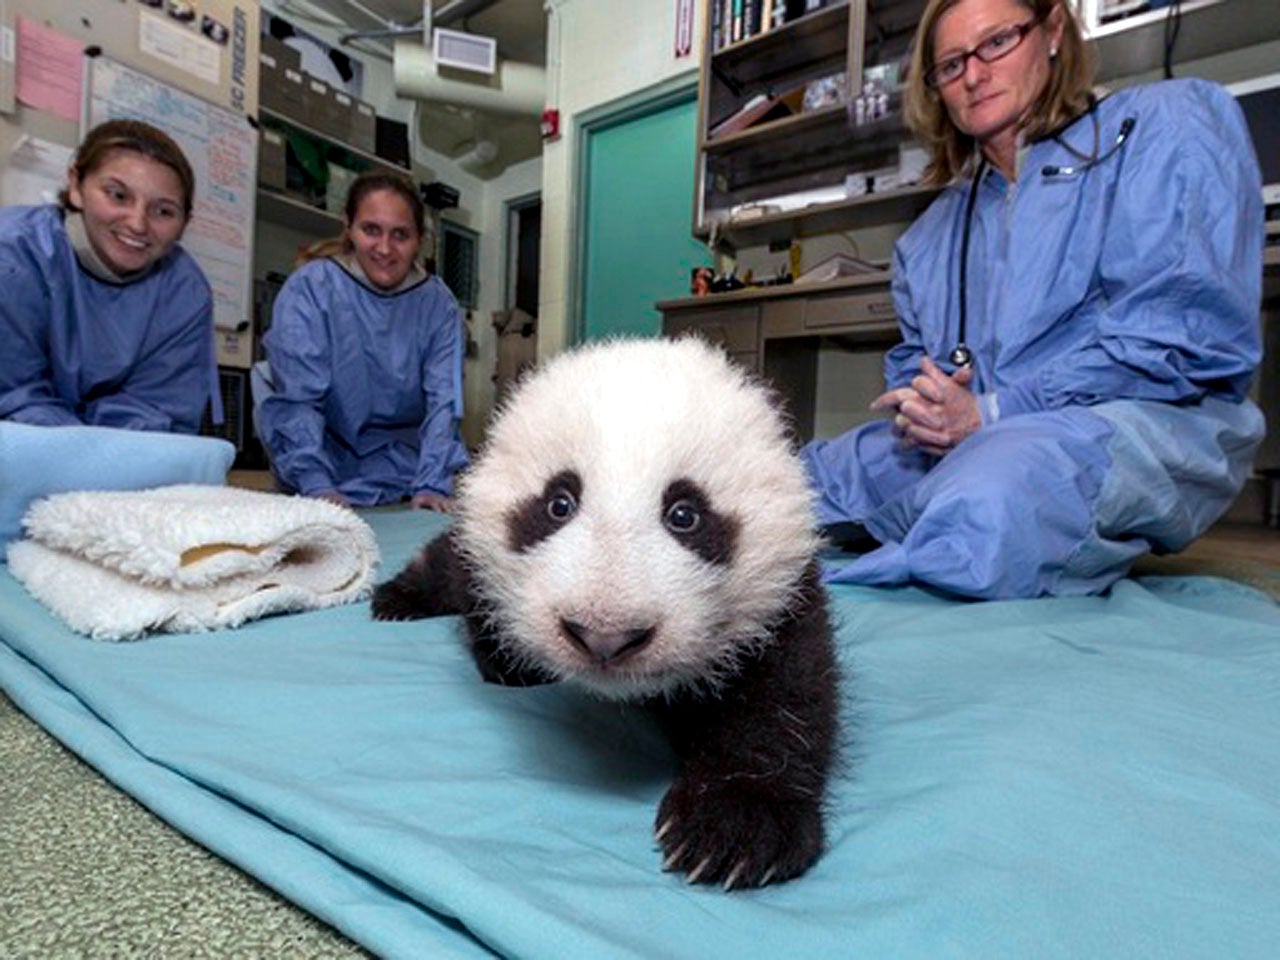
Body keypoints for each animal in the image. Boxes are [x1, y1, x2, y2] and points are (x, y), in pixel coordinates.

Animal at [373, 337, 839, 890]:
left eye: (685, 515)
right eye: (558, 503)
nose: (604, 636)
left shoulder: (781, 595)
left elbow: (786, 691)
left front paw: (736, 823)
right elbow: (478, 592)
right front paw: (511, 661)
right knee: (449, 561)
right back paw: (397, 598)